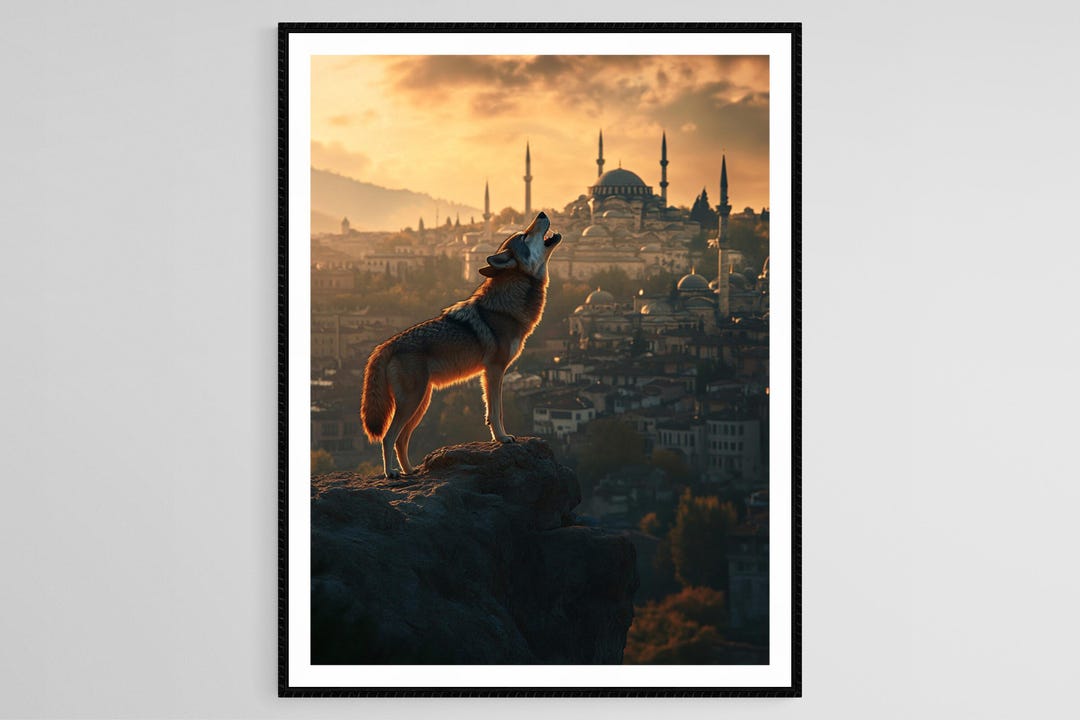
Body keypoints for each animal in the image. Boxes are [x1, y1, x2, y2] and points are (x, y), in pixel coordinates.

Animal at [360, 211, 562, 478]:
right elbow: (496, 411)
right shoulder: (494, 370)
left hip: (421, 402)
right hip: (412, 402)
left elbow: (493, 410)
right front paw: (502, 438)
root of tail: (384, 346)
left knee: (401, 439)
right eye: (524, 235)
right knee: (388, 437)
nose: (541, 213)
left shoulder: (493, 373)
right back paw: (391, 473)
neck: (507, 305)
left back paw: (410, 471)